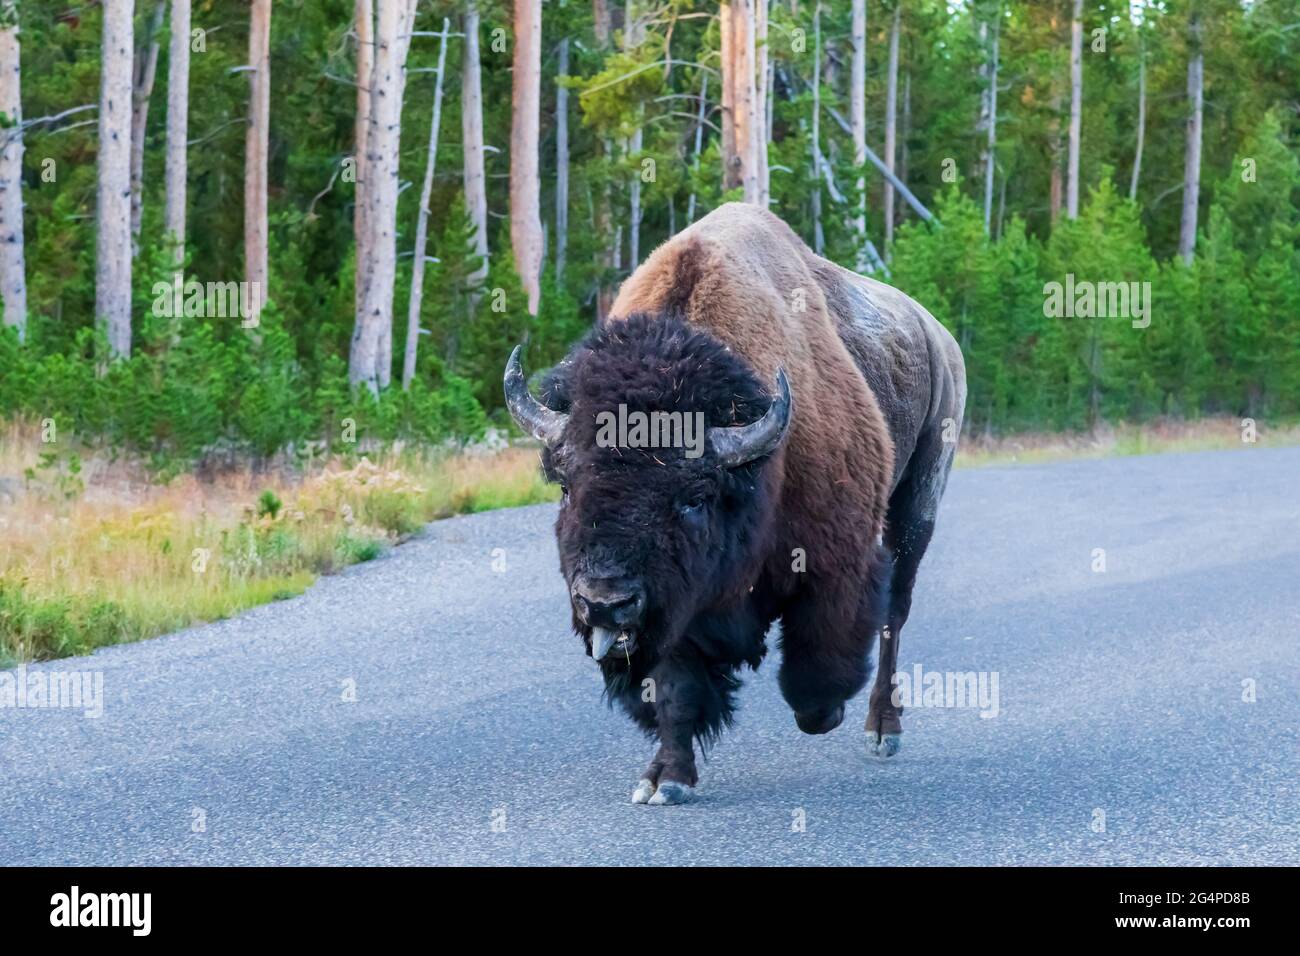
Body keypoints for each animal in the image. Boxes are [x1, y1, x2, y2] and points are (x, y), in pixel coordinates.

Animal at [506, 203, 966, 804]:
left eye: (694, 498)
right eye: (564, 484)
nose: (605, 601)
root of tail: (936, 334)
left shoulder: (835, 565)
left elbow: (816, 674)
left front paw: (827, 713)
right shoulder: (673, 604)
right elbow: (675, 686)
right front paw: (665, 780)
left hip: (919, 502)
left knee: (896, 611)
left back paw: (882, 729)